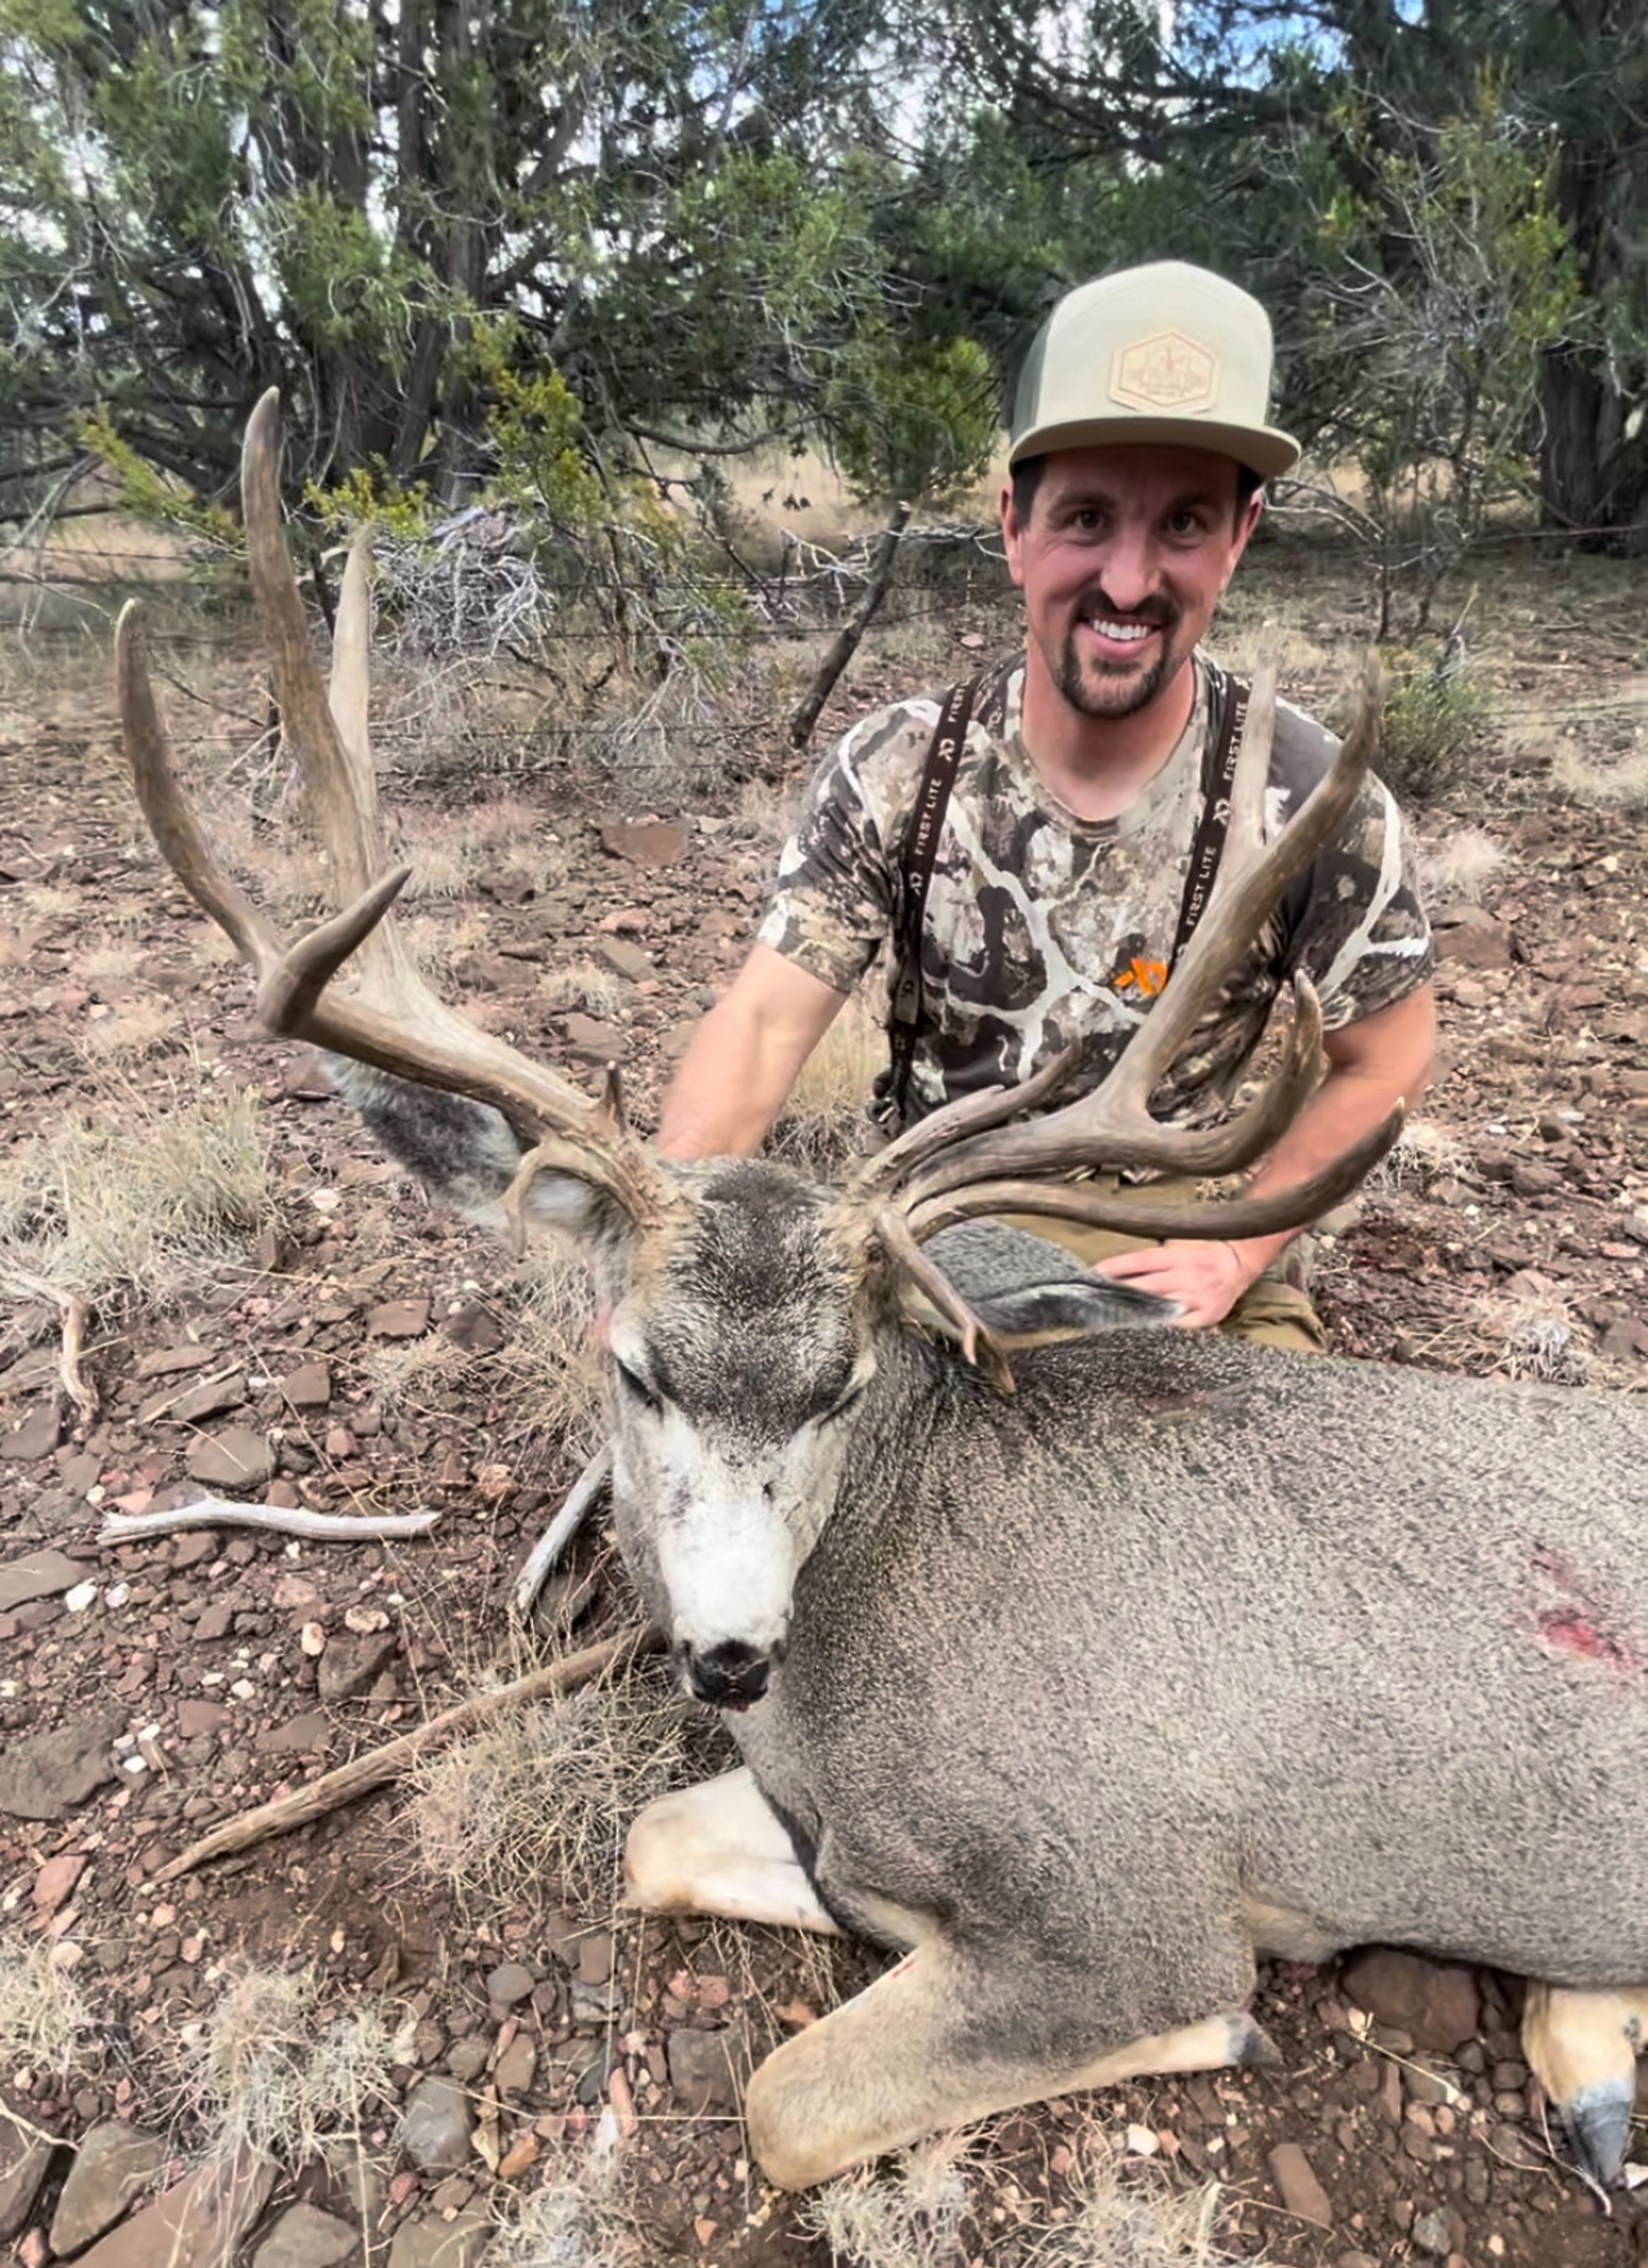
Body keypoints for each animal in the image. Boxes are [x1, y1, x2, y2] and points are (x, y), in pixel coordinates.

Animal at [118, 392, 1648, 2199]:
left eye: (845, 1382)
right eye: (631, 1366)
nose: (725, 1653)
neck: (846, 1684)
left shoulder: (1128, 1893)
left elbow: (792, 2101)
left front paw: (1230, 2027)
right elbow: (657, 1836)